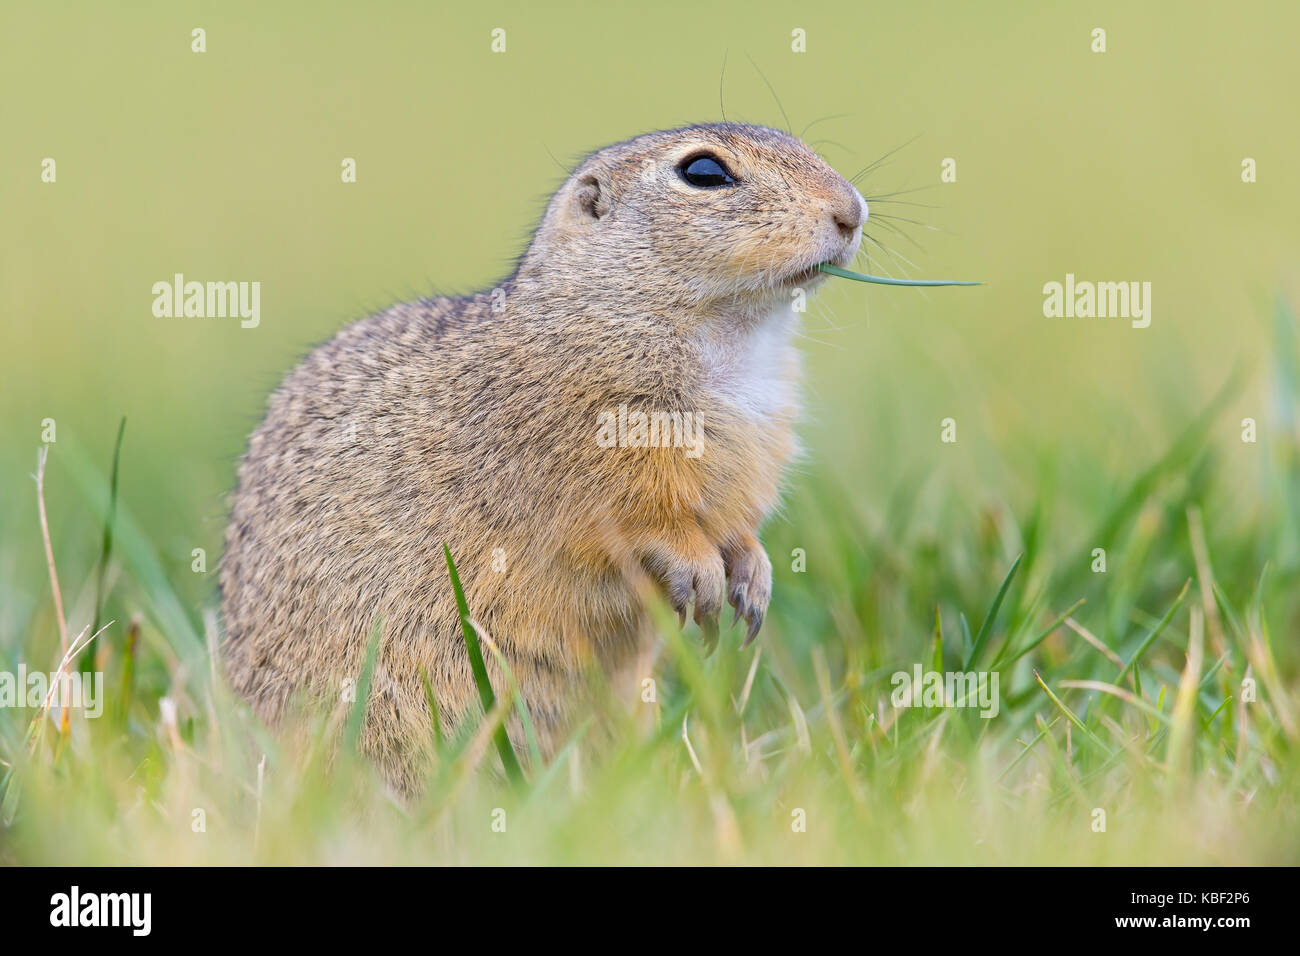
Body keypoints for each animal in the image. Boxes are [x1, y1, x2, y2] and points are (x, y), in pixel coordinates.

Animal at [220, 123, 867, 792]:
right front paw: (699, 571)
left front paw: (754, 574)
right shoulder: (598, 447)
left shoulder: (757, 452)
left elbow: (737, 523)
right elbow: (643, 520)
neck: (734, 341)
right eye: (705, 173)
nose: (851, 212)